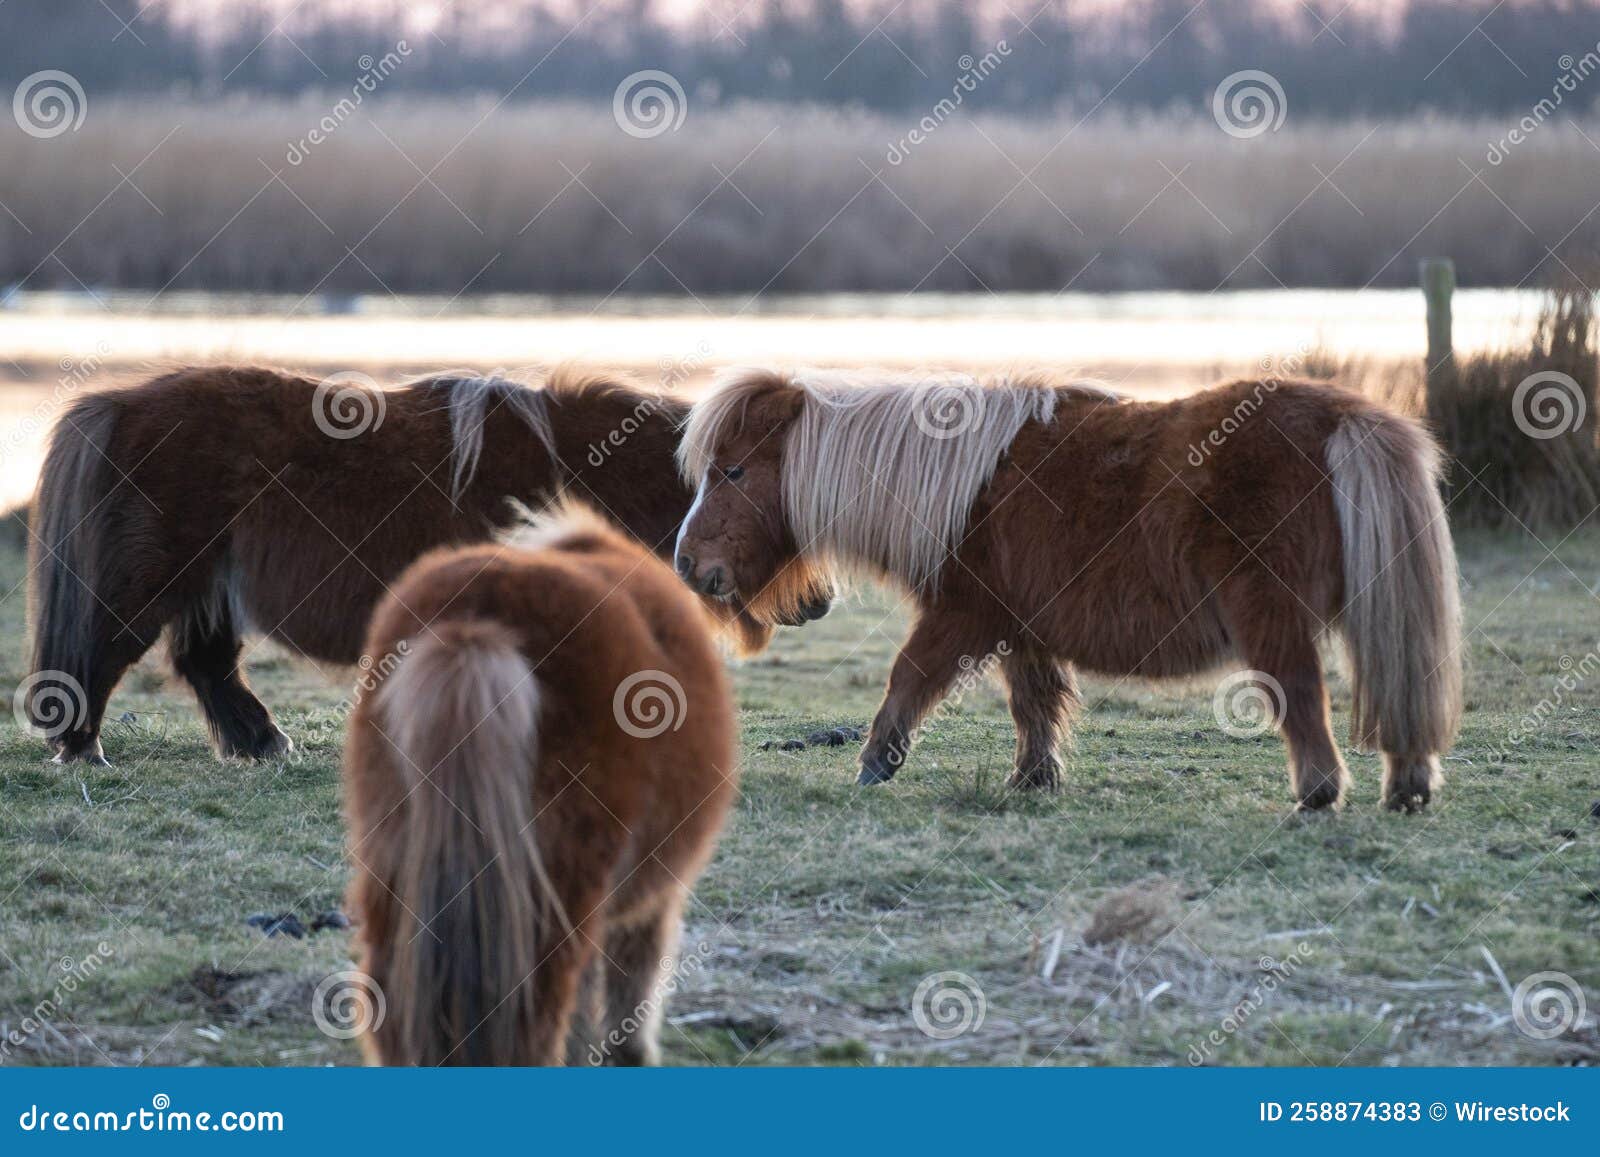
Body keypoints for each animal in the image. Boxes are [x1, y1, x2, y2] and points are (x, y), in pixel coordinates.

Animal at [25, 365, 830, 764]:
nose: (817, 603)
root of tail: (115, 403)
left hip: (211, 586)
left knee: (207, 666)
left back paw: (263, 743)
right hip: (156, 582)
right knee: (103, 653)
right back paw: (83, 749)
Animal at [344, 507, 737, 1065]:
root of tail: (473, 623)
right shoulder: (650, 901)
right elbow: (627, 990)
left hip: (394, 862)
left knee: (391, 1010)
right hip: (560, 897)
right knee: (542, 1015)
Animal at [673, 368, 1463, 812]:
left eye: (732, 471)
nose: (686, 563)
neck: (957, 487)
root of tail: (1344, 418)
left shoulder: (965, 612)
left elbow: (911, 675)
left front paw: (876, 762)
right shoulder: (1020, 623)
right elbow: (1035, 700)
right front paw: (1034, 778)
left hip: (1272, 617)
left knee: (1300, 697)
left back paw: (1318, 795)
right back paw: (1407, 788)